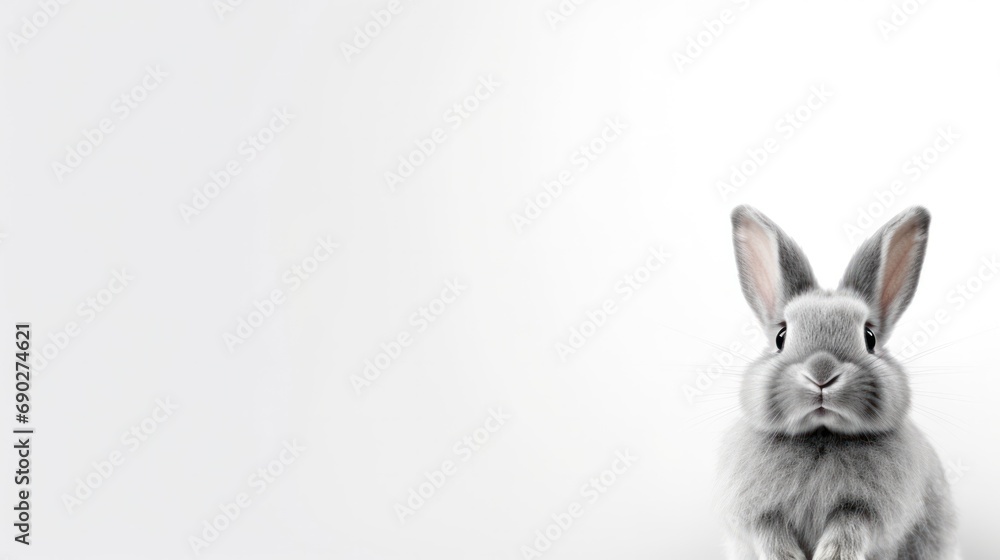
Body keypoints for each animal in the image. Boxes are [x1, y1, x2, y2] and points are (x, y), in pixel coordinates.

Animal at [716, 205, 959, 560]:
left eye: (870, 338)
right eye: (781, 337)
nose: (821, 372)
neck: (822, 435)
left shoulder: (864, 512)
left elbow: (848, 532)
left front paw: (831, 556)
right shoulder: (758, 515)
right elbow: (769, 534)